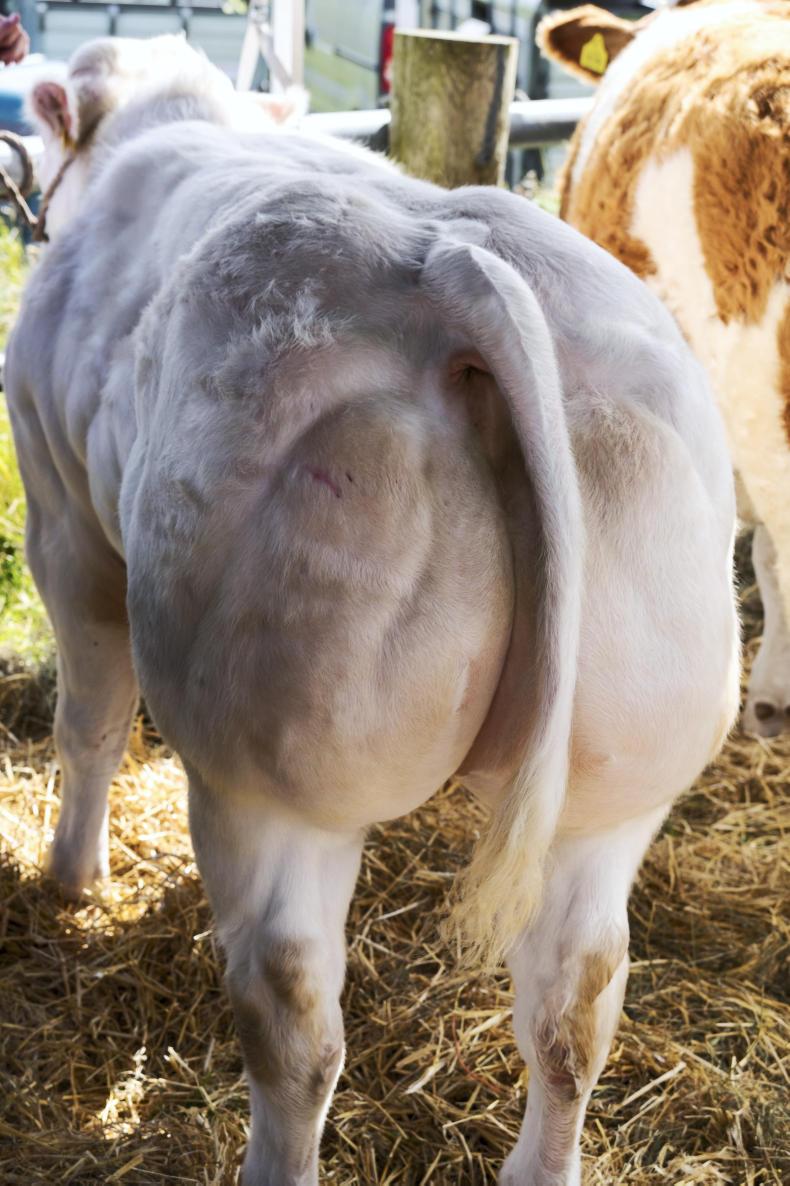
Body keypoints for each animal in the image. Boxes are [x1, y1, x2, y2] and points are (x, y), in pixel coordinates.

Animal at [5, 33, 739, 1186]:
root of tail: (454, 269)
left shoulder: (60, 511)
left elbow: (88, 723)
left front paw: (72, 883)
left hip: (271, 774)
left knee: (295, 1023)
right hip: (626, 771)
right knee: (577, 1000)